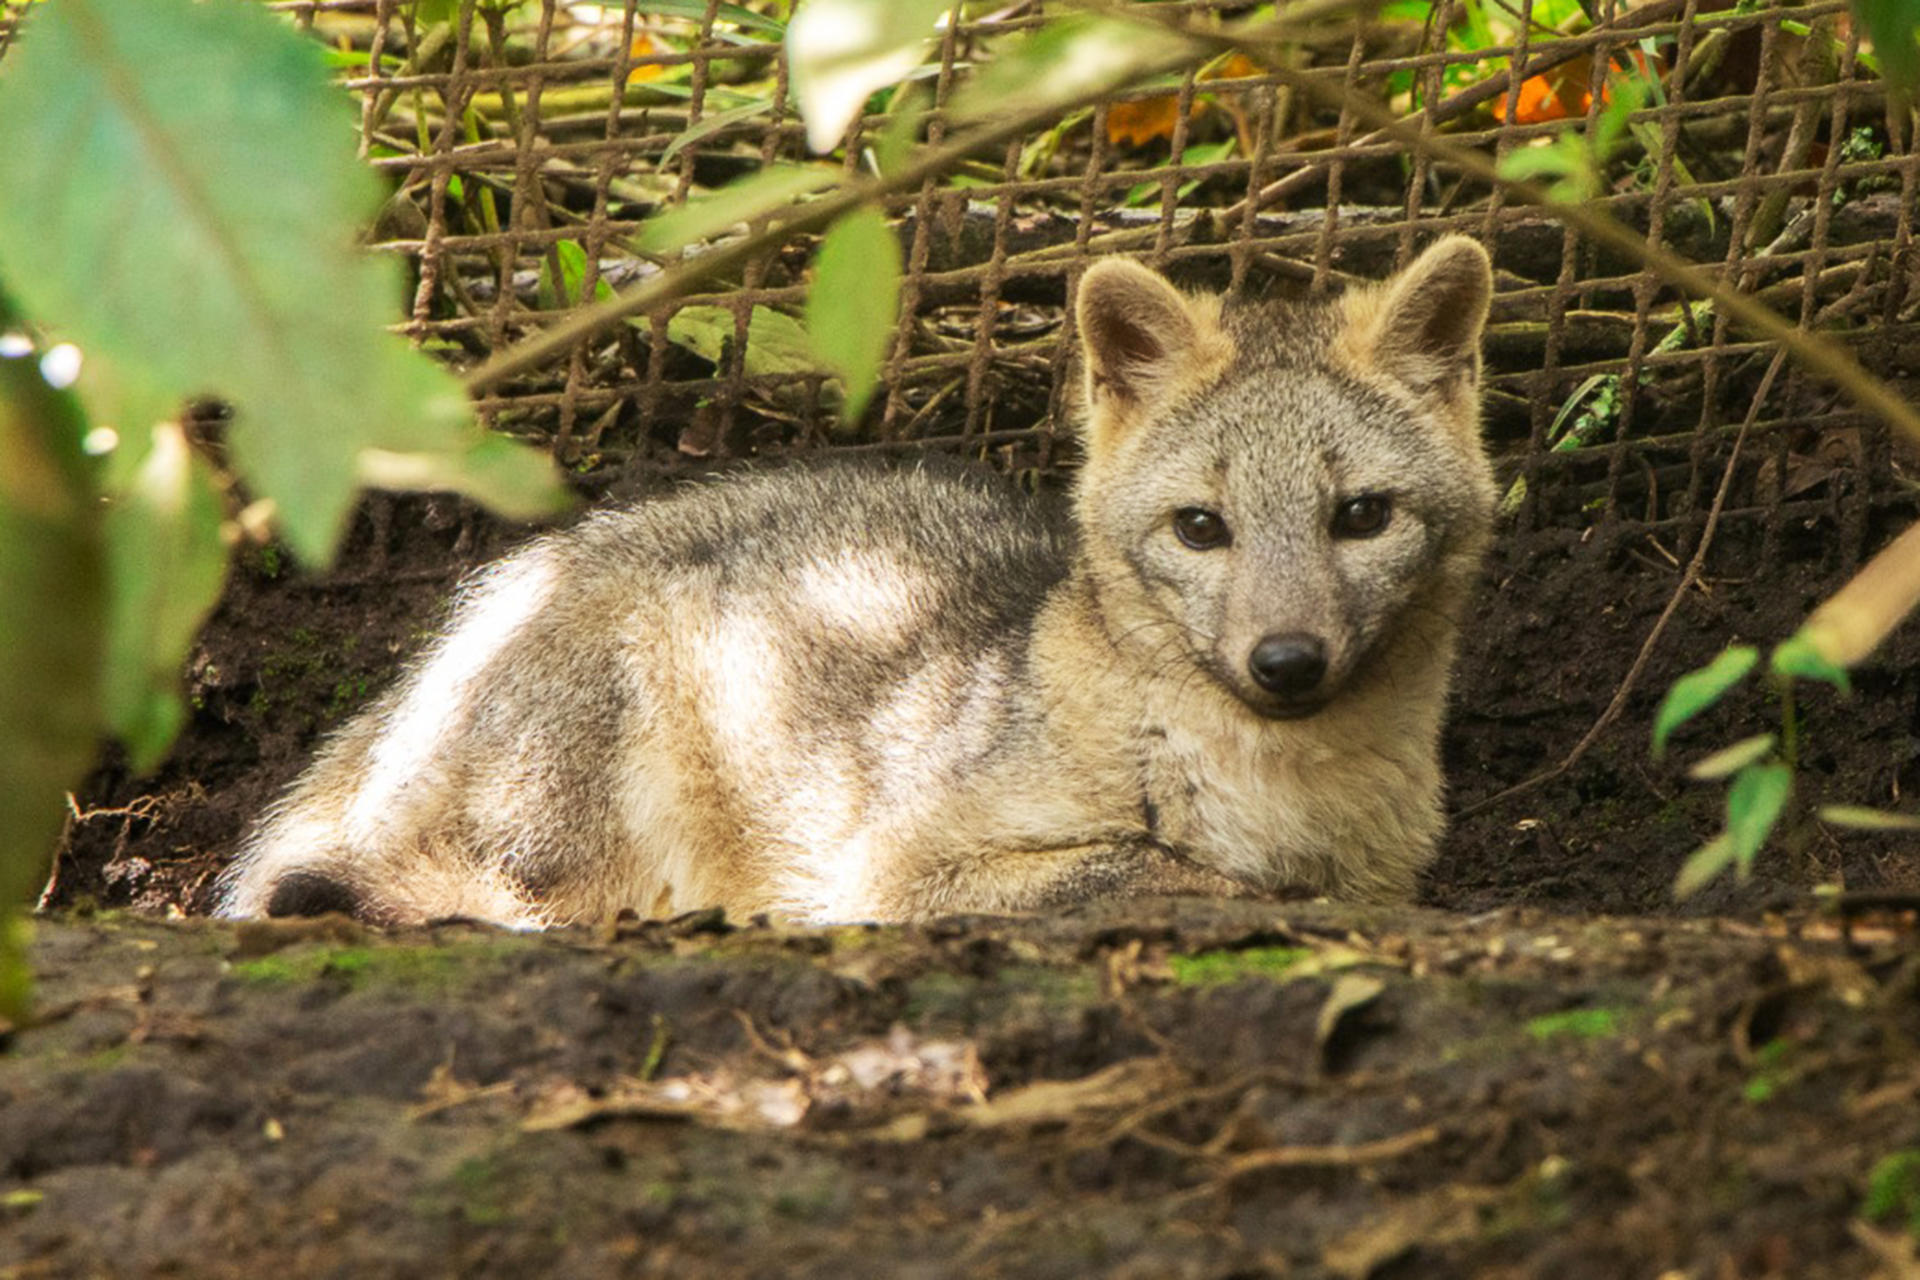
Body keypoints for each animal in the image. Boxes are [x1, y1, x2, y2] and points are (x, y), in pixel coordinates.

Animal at [214, 235, 1497, 928]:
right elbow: (1156, 869)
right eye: (1202, 528)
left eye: (1360, 516)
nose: (1286, 662)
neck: (1275, 795)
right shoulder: (903, 865)